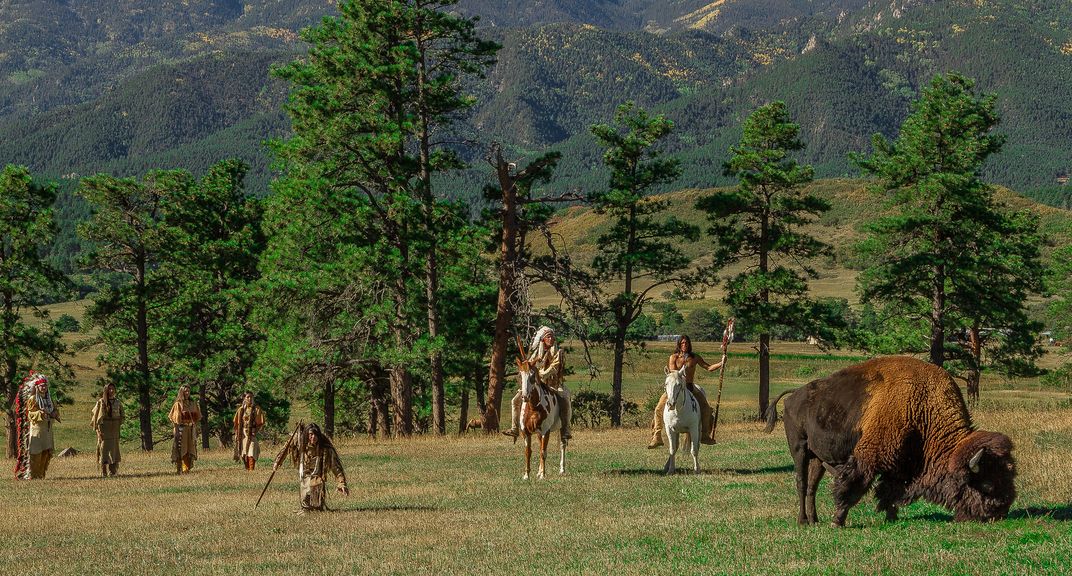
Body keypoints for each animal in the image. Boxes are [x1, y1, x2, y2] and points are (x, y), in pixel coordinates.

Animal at [765, 356, 1016, 527]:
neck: (922, 404)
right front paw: (838, 521)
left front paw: (891, 517)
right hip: (799, 449)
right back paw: (803, 521)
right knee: (801, 483)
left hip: (818, 456)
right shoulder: (868, 457)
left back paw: (814, 519)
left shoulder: (900, 464)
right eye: (987, 484)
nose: (1000, 512)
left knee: (812, 487)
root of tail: (793, 396)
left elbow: (890, 490)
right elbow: (853, 487)